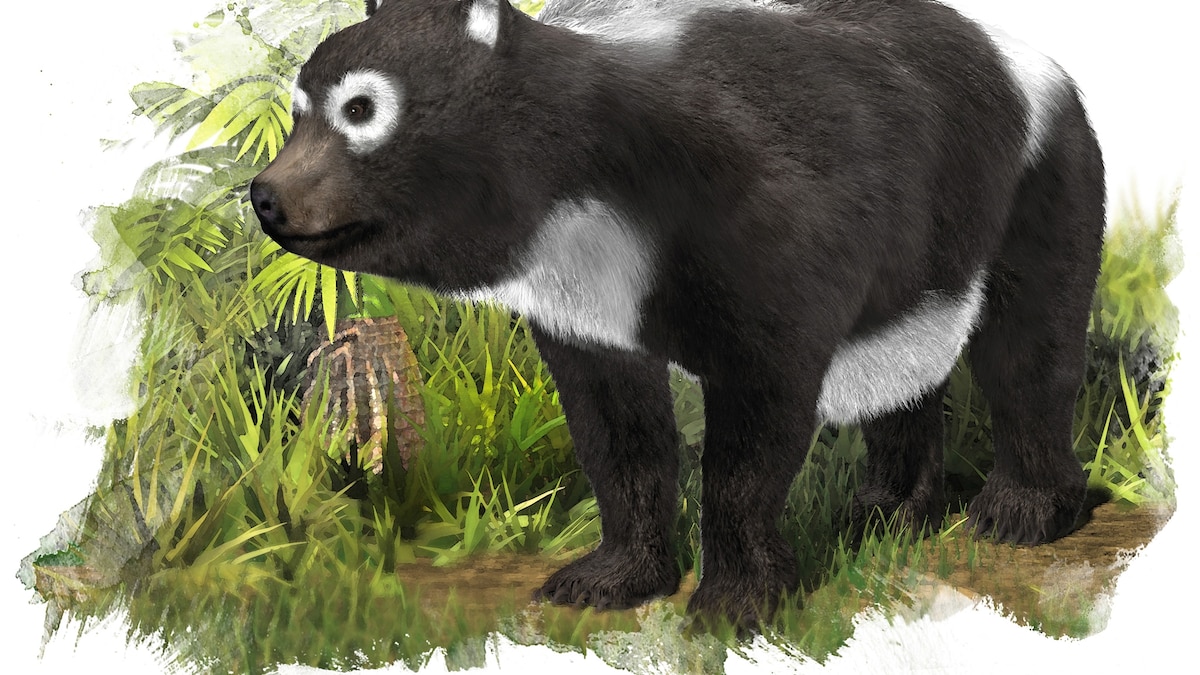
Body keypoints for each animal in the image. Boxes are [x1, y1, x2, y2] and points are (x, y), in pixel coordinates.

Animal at [251, 0, 1105, 627]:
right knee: (901, 365)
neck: (586, 175)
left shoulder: (762, 218)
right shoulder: (586, 288)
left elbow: (758, 413)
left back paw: (1022, 510)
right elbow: (615, 428)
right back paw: (890, 510)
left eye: (362, 109)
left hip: (1036, 177)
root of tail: (1040, 64)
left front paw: (737, 599)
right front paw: (611, 576)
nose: (265, 195)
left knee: (1028, 348)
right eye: (296, 112)